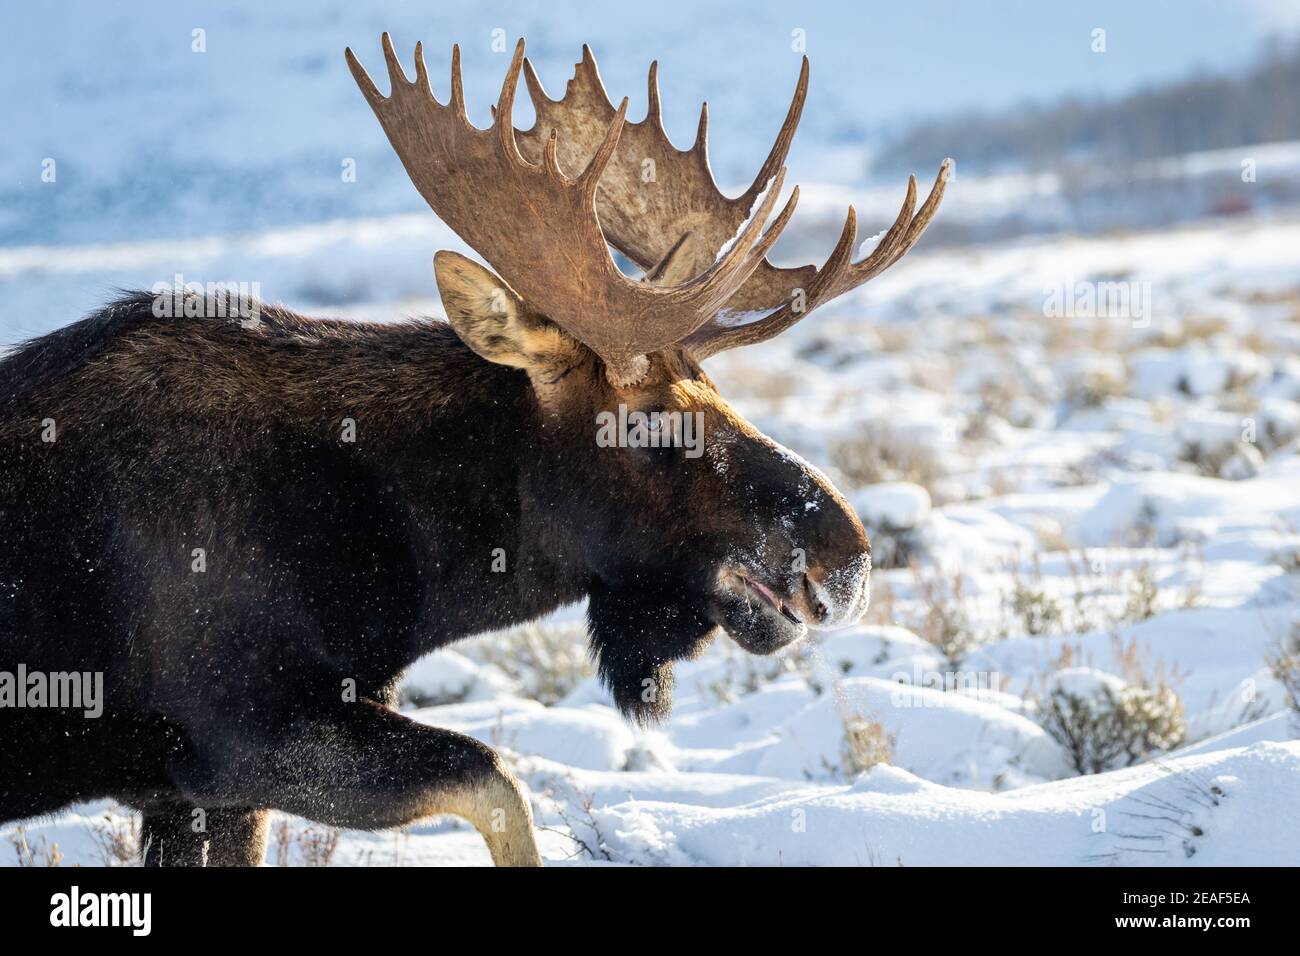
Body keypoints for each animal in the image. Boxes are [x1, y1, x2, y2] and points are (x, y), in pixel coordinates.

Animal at [0, 33, 947, 866]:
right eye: (646, 418)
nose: (846, 559)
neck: (406, 567)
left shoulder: (193, 790)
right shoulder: (241, 735)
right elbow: (498, 783)